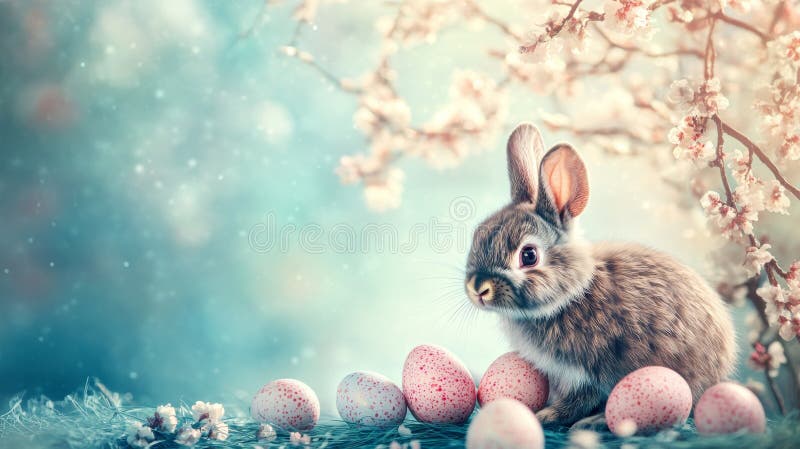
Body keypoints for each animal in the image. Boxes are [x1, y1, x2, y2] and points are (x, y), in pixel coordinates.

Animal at [464, 123, 736, 428]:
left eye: (529, 255)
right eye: (477, 235)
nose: (478, 288)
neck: (570, 295)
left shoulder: (587, 372)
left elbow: (579, 401)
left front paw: (547, 416)